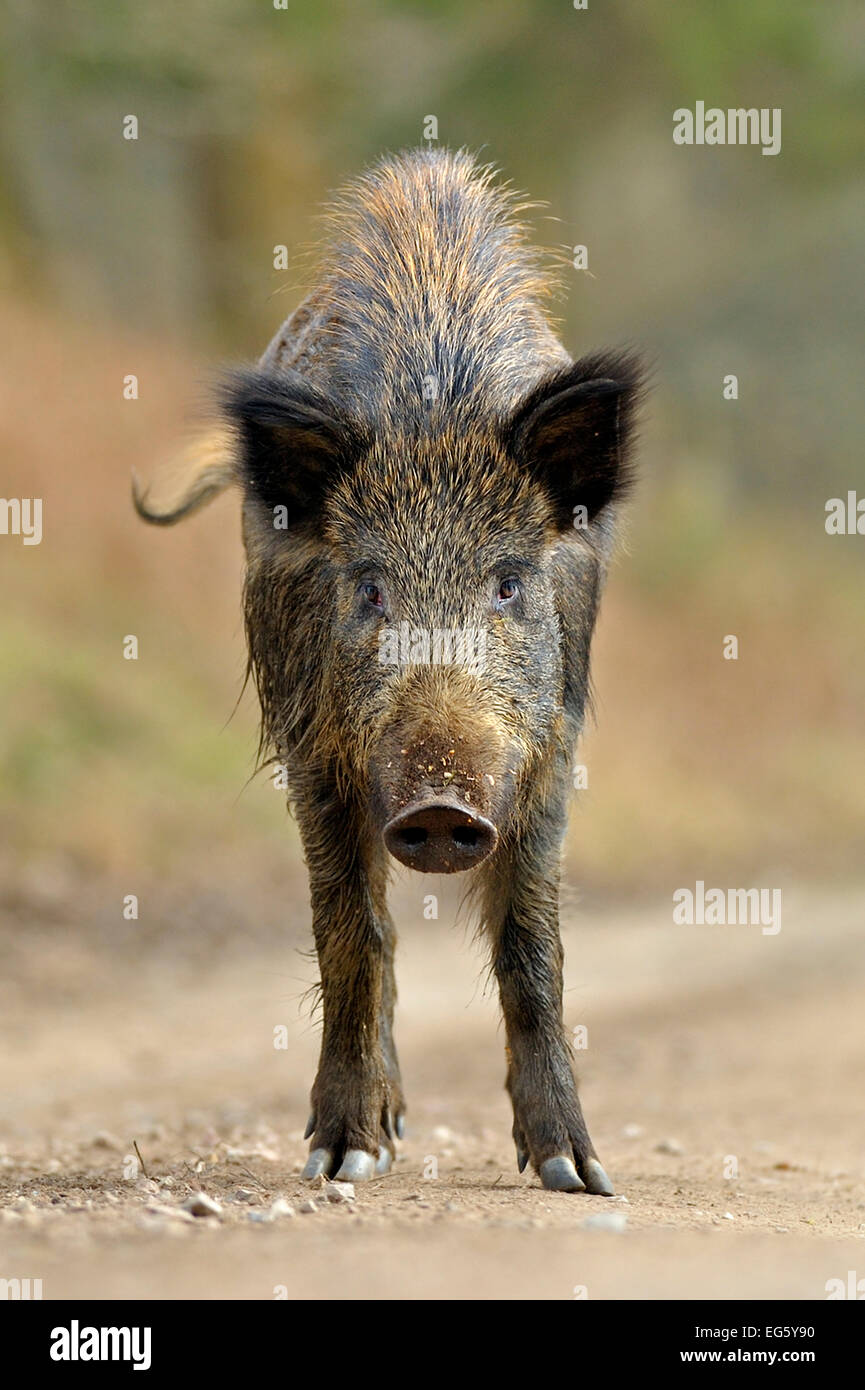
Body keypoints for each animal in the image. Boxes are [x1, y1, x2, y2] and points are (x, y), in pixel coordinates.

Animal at [134, 147, 643, 1193]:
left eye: (508, 583)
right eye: (368, 587)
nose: (441, 802)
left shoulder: (548, 750)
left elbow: (533, 947)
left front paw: (575, 1173)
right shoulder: (311, 746)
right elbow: (351, 932)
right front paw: (343, 1157)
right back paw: (390, 1130)